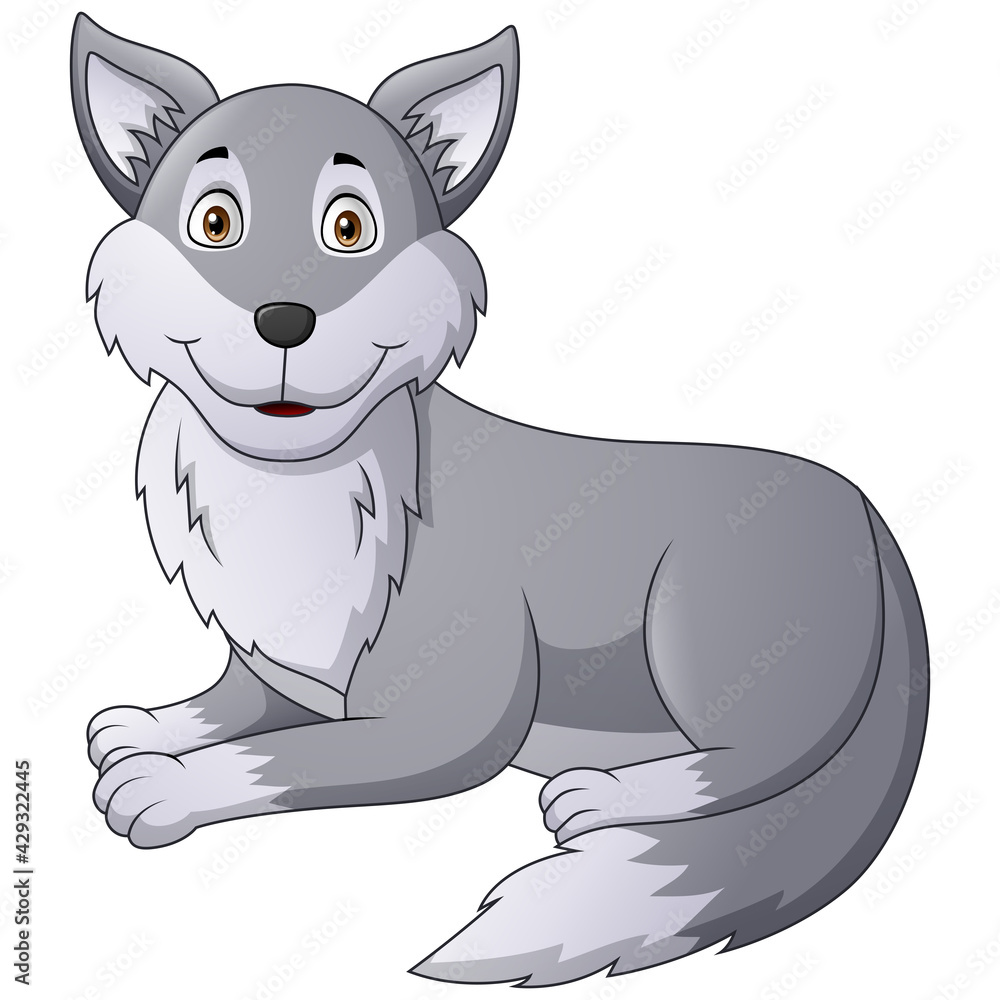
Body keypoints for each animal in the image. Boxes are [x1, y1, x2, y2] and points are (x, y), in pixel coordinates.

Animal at [71, 13, 928, 986]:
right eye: (215, 222)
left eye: (349, 226)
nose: (284, 321)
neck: (293, 498)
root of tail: (866, 509)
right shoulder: (278, 666)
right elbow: (227, 708)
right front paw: (146, 727)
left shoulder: (447, 726)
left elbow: (275, 757)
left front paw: (168, 784)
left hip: (701, 627)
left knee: (759, 759)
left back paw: (608, 797)